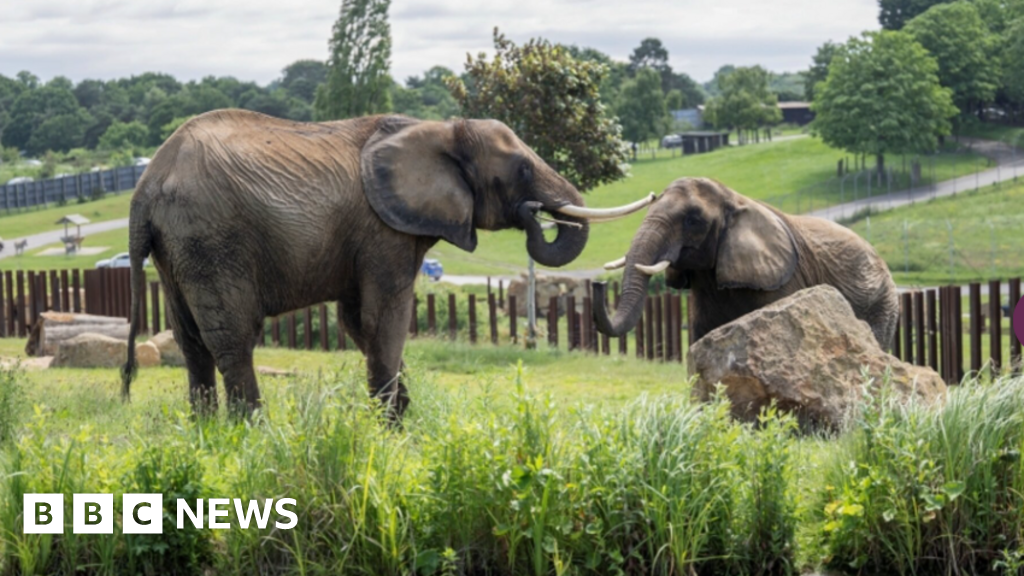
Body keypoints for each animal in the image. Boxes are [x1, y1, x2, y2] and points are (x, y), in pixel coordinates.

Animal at [120, 109, 653, 418]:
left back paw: (208, 432)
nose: (534, 212)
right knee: (231, 338)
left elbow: (358, 322)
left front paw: (400, 415)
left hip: (178, 249)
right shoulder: (383, 231)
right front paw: (390, 427)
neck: (438, 129)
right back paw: (253, 430)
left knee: (191, 340)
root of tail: (144, 188)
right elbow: (385, 317)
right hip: (211, 238)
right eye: (522, 170)